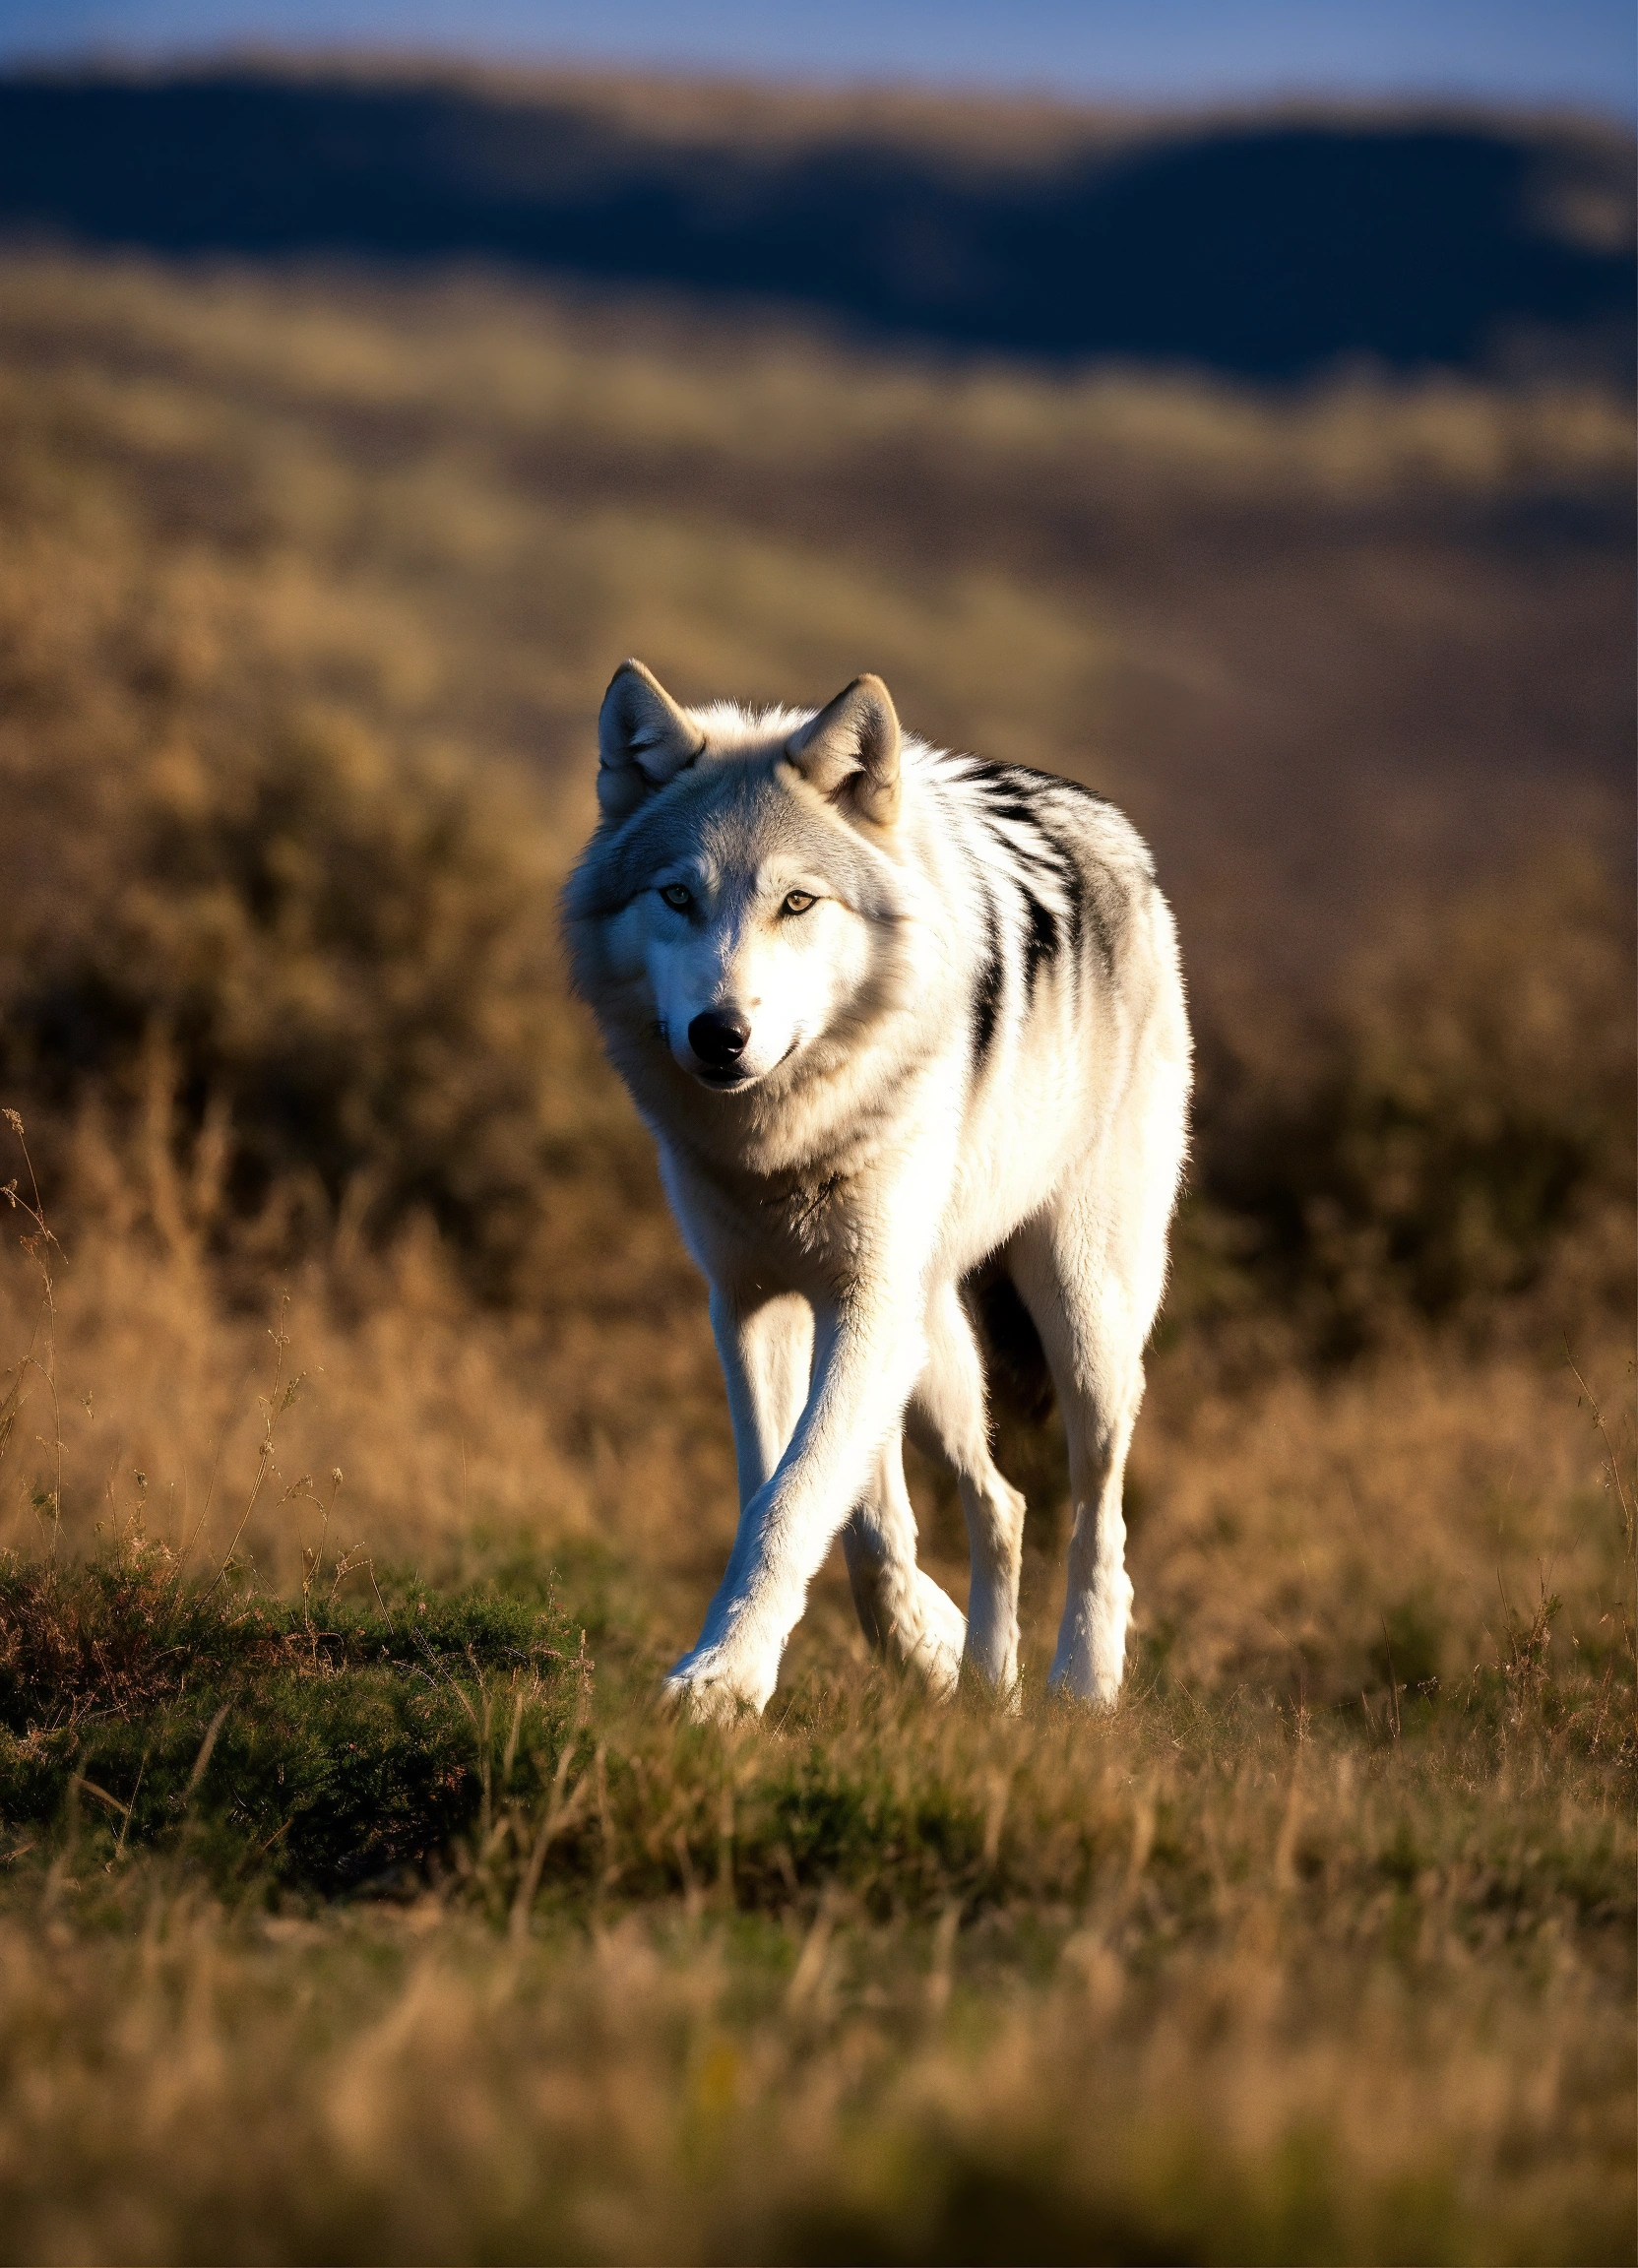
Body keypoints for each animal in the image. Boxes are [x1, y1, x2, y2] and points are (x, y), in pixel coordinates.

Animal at [564, 660, 1191, 1720]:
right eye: (678, 896)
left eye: (797, 903)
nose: (719, 1035)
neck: (783, 1142)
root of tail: (1105, 822)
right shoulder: (757, 1305)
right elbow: (812, 1496)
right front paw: (918, 1644)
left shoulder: (862, 1309)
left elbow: (797, 1499)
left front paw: (722, 1681)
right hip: (934, 1347)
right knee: (1003, 1502)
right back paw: (986, 1681)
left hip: (1082, 1315)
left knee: (1095, 1513)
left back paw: (1080, 1683)